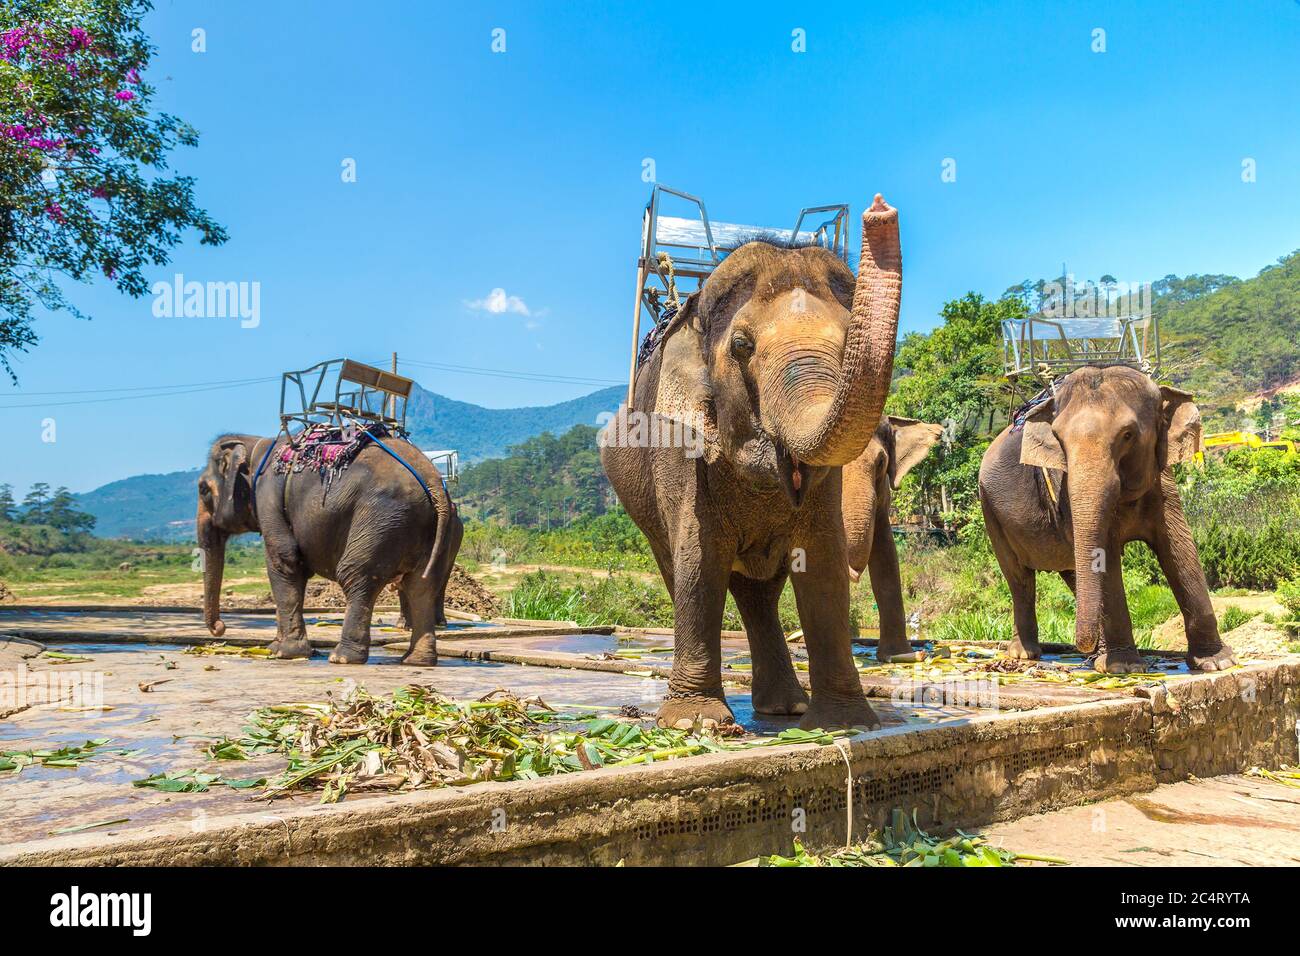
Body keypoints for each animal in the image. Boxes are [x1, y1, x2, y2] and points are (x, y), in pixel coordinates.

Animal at [196, 430, 463, 665]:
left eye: (203, 489)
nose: (219, 628)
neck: (255, 443)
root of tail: (434, 483)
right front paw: (274, 649)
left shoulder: (267, 498)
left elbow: (285, 560)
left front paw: (284, 653)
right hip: (430, 528)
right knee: (421, 585)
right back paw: (416, 661)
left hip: (381, 519)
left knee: (357, 576)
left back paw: (342, 658)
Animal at [601, 195, 903, 732]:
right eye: (742, 346)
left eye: (849, 339)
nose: (880, 210)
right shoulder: (679, 447)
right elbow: (699, 560)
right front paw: (695, 724)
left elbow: (822, 564)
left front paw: (845, 724)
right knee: (679, 569)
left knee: (759, 593)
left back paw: (785, 708)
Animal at [978, 365, 1236, 673]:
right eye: (1059, 439)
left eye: (1127, 435)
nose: (1079, 647)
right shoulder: (1063, 489)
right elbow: (1108, 558)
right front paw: (1124, 668)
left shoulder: (1163, 480)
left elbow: (1179, 546)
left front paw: (1217, 662)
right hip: (990, 510)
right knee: (1019, 578)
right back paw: (1025, 654)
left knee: (1073, 573)